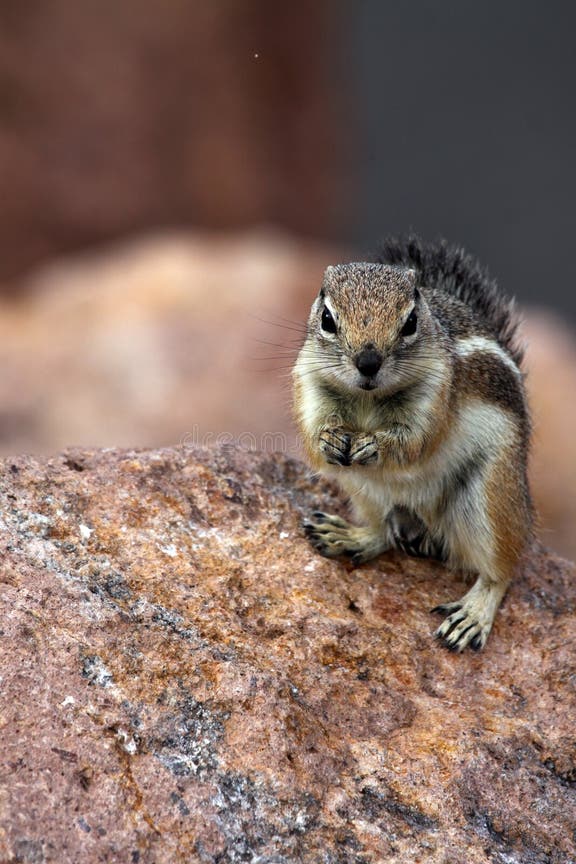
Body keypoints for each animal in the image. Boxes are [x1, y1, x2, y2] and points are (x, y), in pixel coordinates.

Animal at [292, 234, 532, 651]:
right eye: (327, 319)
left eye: (410, 323)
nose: (368, 361)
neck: (368, 399)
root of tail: (425, 525)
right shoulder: (311, 381)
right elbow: (312, 427)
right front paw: (328, 440)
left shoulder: (436, 395)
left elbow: (415, 442)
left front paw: (375, 446)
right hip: (361, 488)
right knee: (382, 531)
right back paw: (348, 536)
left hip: (490, 496)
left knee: (501, 570)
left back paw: (473, 614)